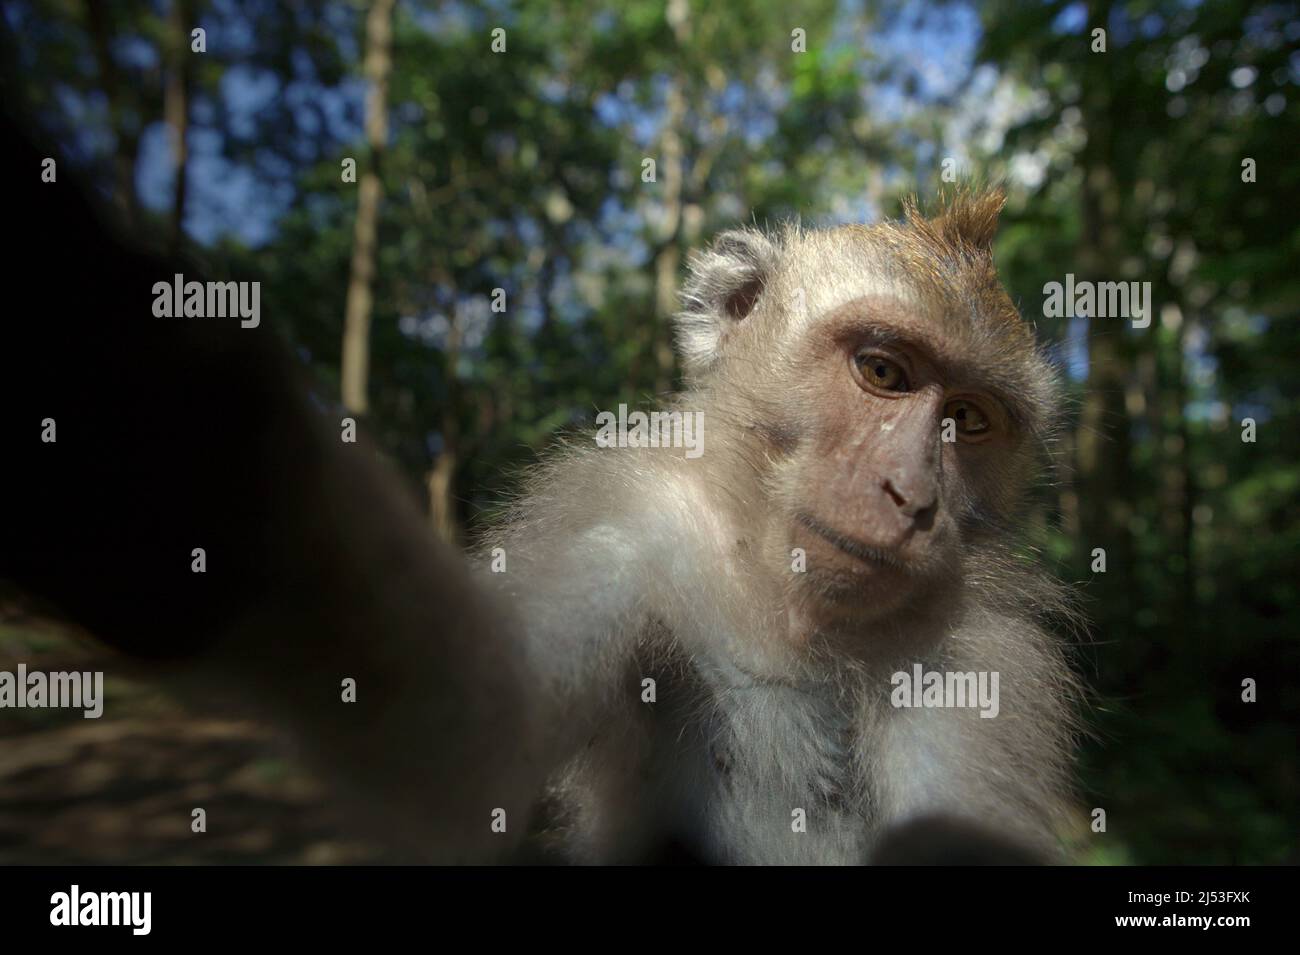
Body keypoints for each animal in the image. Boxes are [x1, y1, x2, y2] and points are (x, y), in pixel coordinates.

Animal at [1, 92, 1080, 864]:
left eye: (968, 421)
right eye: (884, 371)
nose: (913, 495)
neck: (785, 593)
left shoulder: (978, 643)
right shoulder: (624, 531)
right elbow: (480, 738)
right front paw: (187, 459)